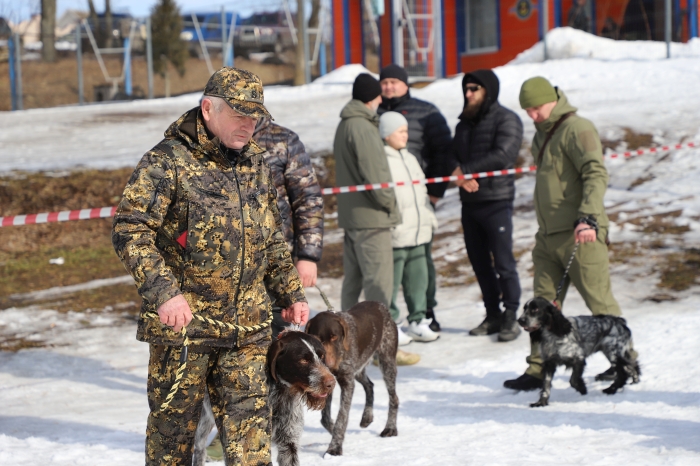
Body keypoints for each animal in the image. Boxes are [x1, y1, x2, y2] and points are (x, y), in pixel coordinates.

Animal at [190, 330, 334, 466]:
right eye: (304, 360)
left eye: (321, 356)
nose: (331, 383)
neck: (281, 395)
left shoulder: (288, 443)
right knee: (199, 450)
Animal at [306, 300, 400, 456]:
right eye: (317, 339)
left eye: (334, 337)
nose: (328, 365)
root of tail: (380, 305)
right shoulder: (328, 383)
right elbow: (326, 419)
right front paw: (335, 433)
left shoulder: (347, 382)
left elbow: (342, 416)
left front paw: (335, 446)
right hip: (359, 368)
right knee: (370, 385)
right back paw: (367, 417)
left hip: (387, 362)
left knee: (394, 398)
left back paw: (390, 428)